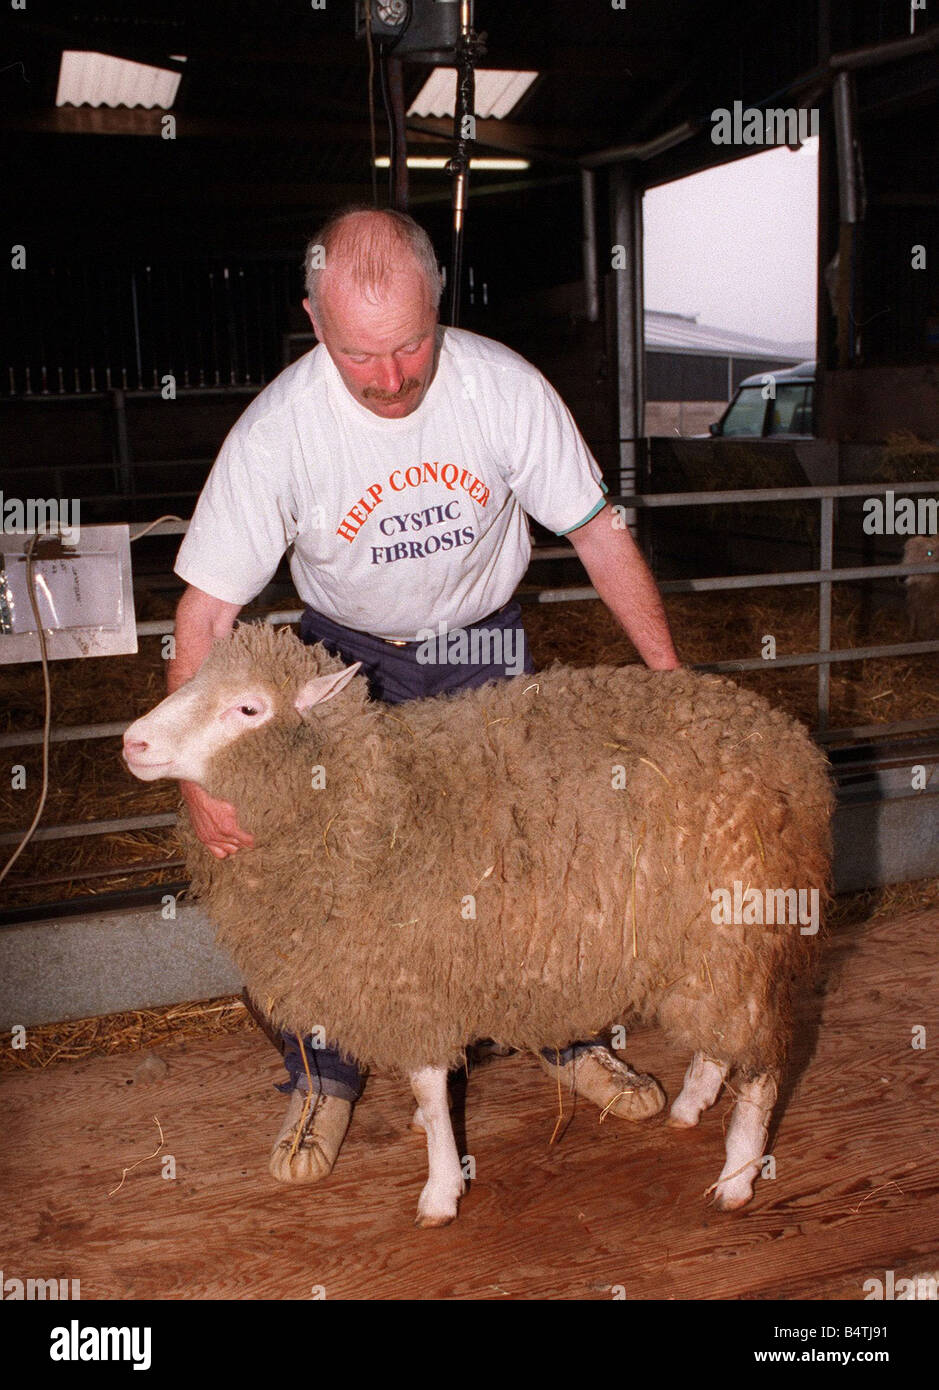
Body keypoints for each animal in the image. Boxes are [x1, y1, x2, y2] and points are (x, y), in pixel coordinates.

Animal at [123, 622, 833, 1227]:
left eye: (248, 709)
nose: (133, 742)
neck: (375, 801)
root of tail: (790, 742)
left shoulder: (412, 978)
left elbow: (432, 1092)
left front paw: (440, 1190)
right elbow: (432, 1093)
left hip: (743, 923)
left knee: (763, 1064)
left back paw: (737, 1176)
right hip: (712, 942)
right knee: (722, 1037)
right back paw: (691, 1105)